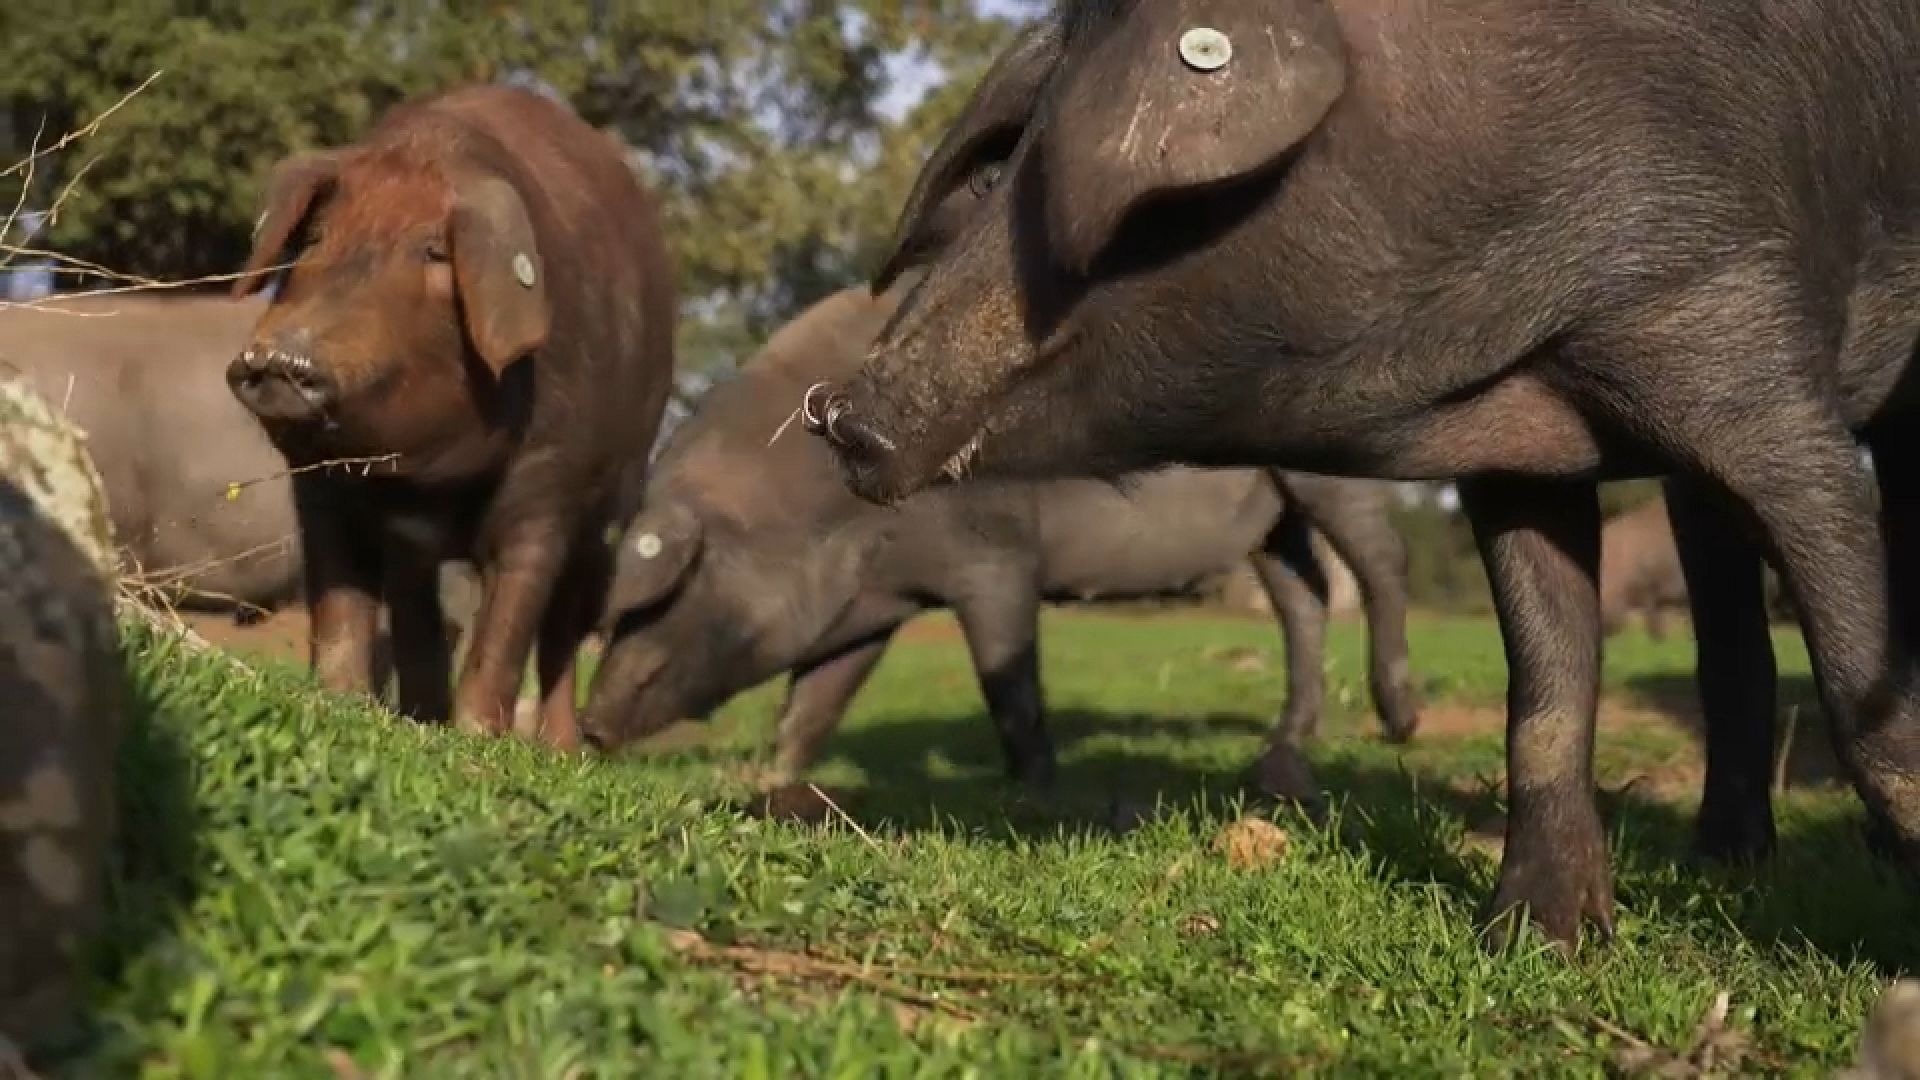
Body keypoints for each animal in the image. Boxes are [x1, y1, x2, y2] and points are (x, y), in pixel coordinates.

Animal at [226, 83, 676, 749]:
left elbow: (508, 624)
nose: (282, 357)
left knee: (563, 632)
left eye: (435, 252)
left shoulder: (549, 485)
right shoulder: (324, 491)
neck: (424, 484)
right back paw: (420, 715)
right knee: (420, 612)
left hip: (609, 521)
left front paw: (478, 739)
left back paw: (559, 748)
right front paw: (341, 702)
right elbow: (340, 602)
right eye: (313, 240)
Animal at [579, 281, 1422, 792]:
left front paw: (1036, 790)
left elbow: (1008, 680)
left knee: (1379, 563)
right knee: (1303, 594)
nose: (588, 725)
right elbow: (816, 696)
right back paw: (1283, 751)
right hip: (1268, 517)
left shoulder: (999, 554)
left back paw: (1400, 721)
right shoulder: (870, 605)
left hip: (1330, 473)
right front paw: (770, 781)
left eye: (679, 584)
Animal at [807, 3, 1920, 950]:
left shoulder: (1734, 327)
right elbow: (1546, 687)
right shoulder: (1524, 446)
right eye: (999, 174)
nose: (840, 414)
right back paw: (1724, 863)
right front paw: (1534, 944)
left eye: (1141, 211)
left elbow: (1861, 678)